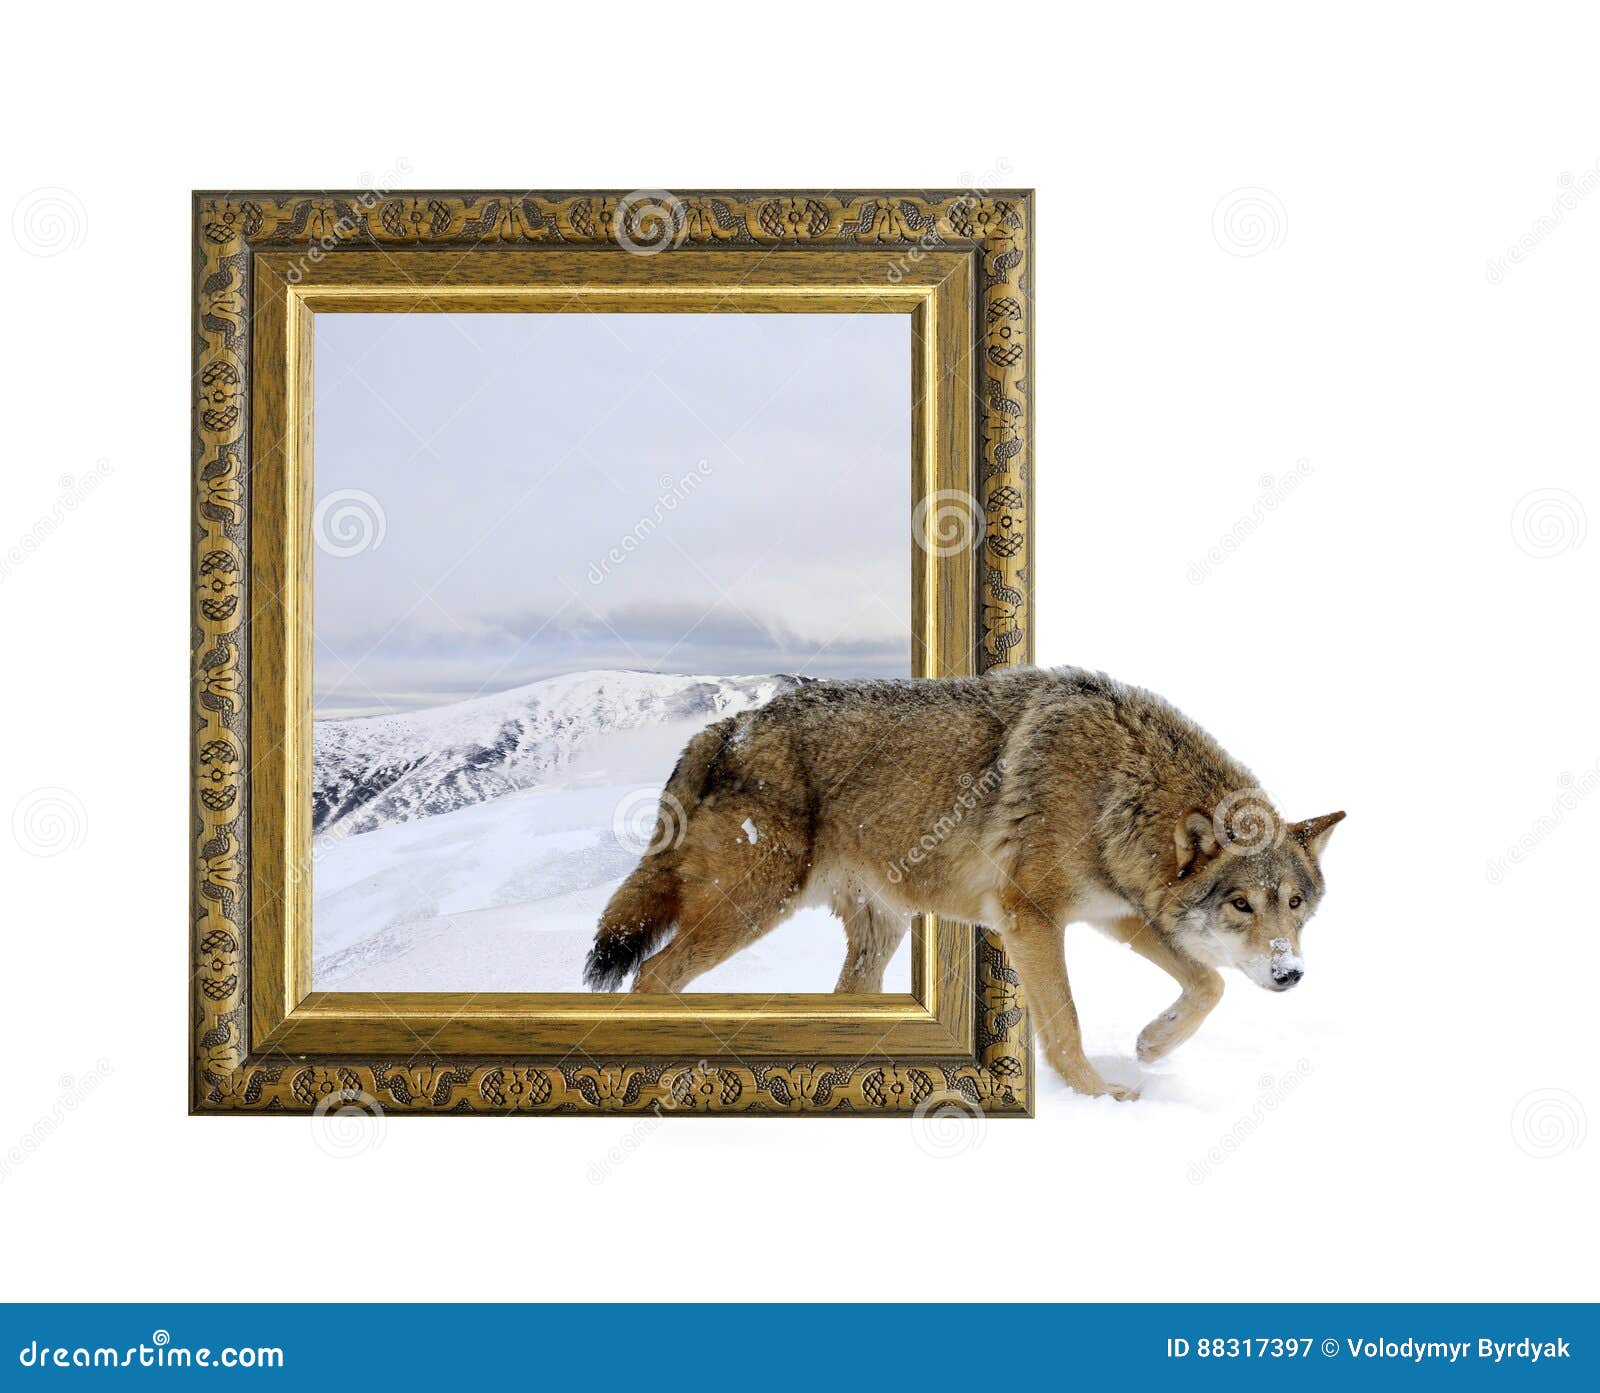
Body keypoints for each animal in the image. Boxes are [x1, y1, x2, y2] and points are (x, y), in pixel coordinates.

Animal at [584, 666, 1343, 1099]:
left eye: (1294, 904)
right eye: (1241, 903)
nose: (1290, 973)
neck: (1121, 788)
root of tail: (726, 726)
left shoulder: (1119, 914)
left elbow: (1208, 984)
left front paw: (1152, 1046)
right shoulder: (1030, 917)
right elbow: (1065, 1026)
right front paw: (1100, 1098)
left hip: (876, 935)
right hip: (754, 908)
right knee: (653, 974)